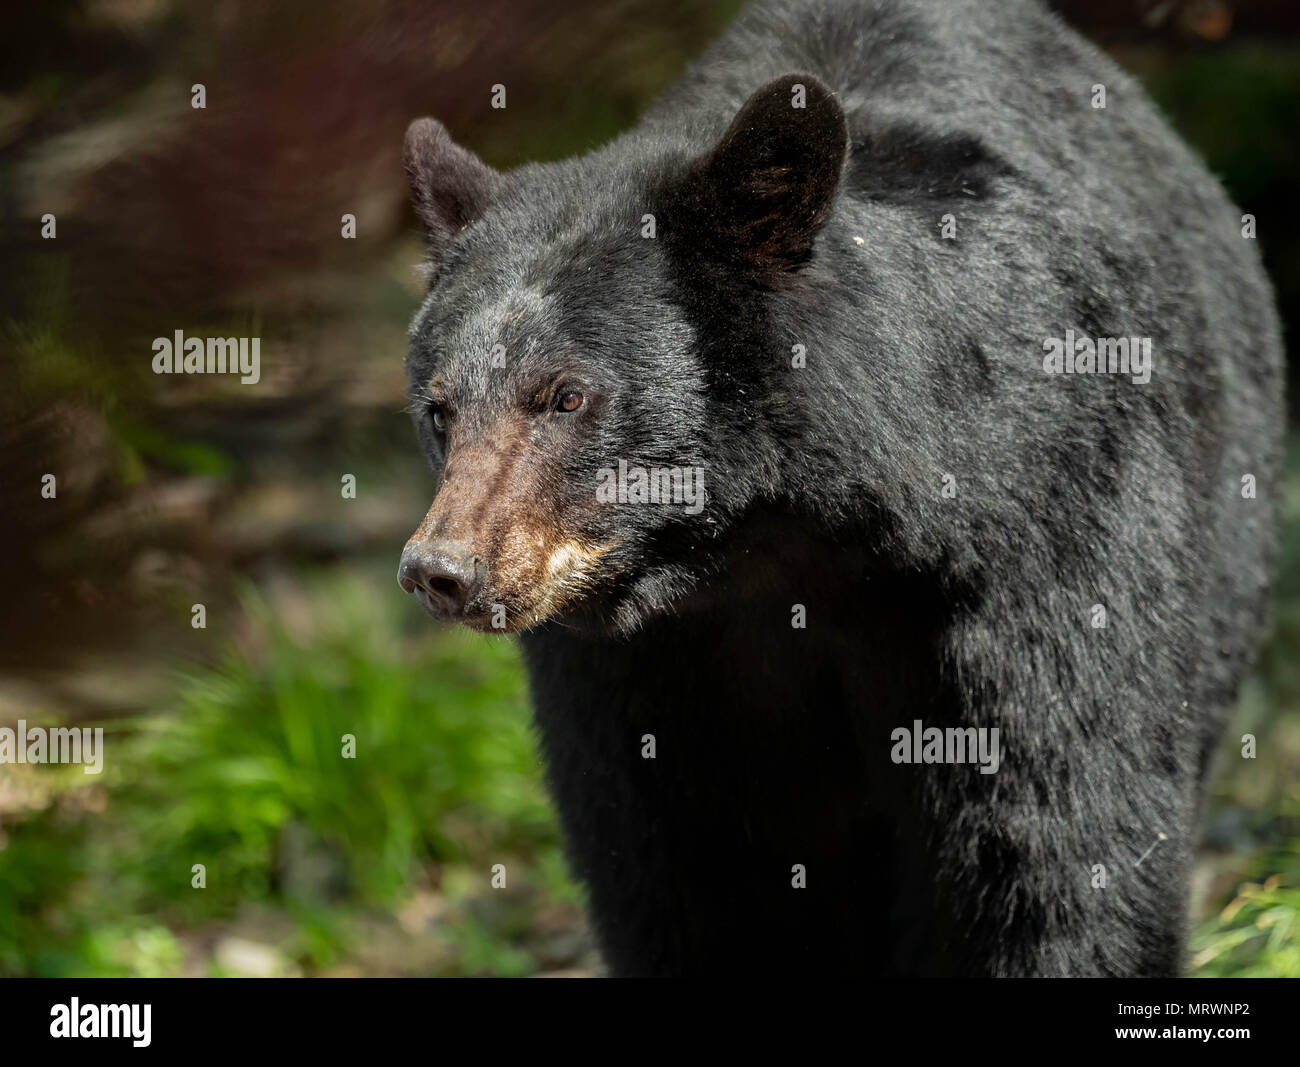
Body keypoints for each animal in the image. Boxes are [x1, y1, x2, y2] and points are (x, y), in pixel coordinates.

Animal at [396, 0, 1283, 977]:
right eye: (439, 408)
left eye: (565, 395)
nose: (442, 569)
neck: (782, 547)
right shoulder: (639, 673)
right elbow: (682, 874)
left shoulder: (1045, 535)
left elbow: (1057, 840)